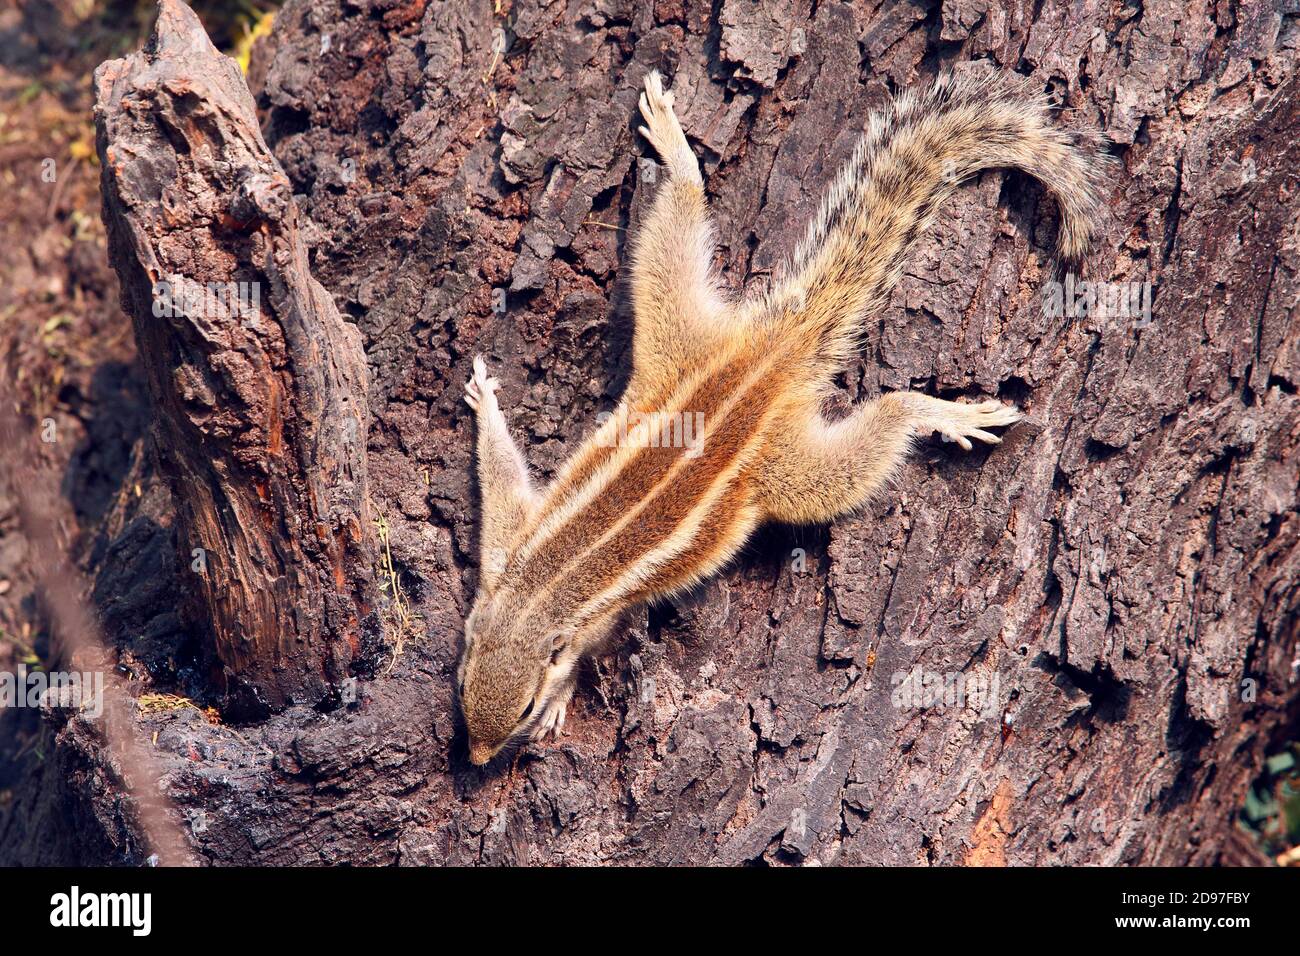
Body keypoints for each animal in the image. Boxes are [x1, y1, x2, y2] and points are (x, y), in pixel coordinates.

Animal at [458, 68, 1107, 765]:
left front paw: (560, 702)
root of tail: (774, 357)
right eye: (462, 672)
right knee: (675, 231)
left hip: (784, 469)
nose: (476, 759)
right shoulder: (508, 548)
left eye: (523, 705)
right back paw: (677, 154)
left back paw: (936, 412)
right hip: (673, 335)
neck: (539, 591)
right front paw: (485, 400)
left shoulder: (591, 610)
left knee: (876, 431)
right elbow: (502, 480)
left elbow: (585, 638)